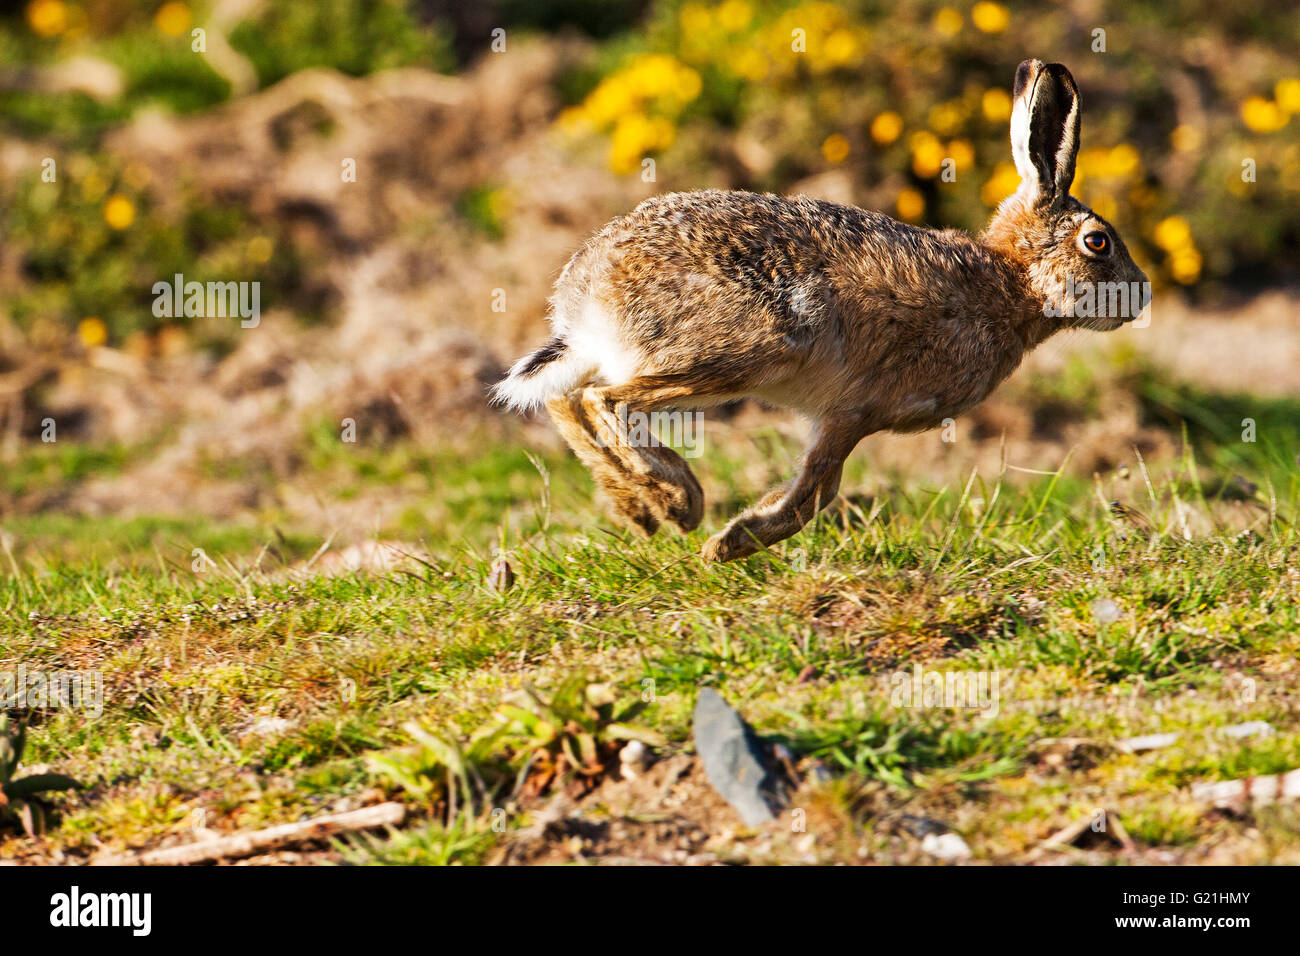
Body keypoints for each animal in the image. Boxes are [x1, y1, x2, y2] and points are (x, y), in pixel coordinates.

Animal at [494, 59, 1151, 562]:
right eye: (1098, 242)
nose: (1140, 294)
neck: (1011, 286)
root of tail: (585, 296)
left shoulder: (843, 414)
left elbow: (818, 486)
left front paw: (732, 539)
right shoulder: (856, 409)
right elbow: (817, 490)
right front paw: (730, 545)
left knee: (565, 400)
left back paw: (641, 509)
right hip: (744, 349)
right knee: (605, 400)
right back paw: (680, 501)